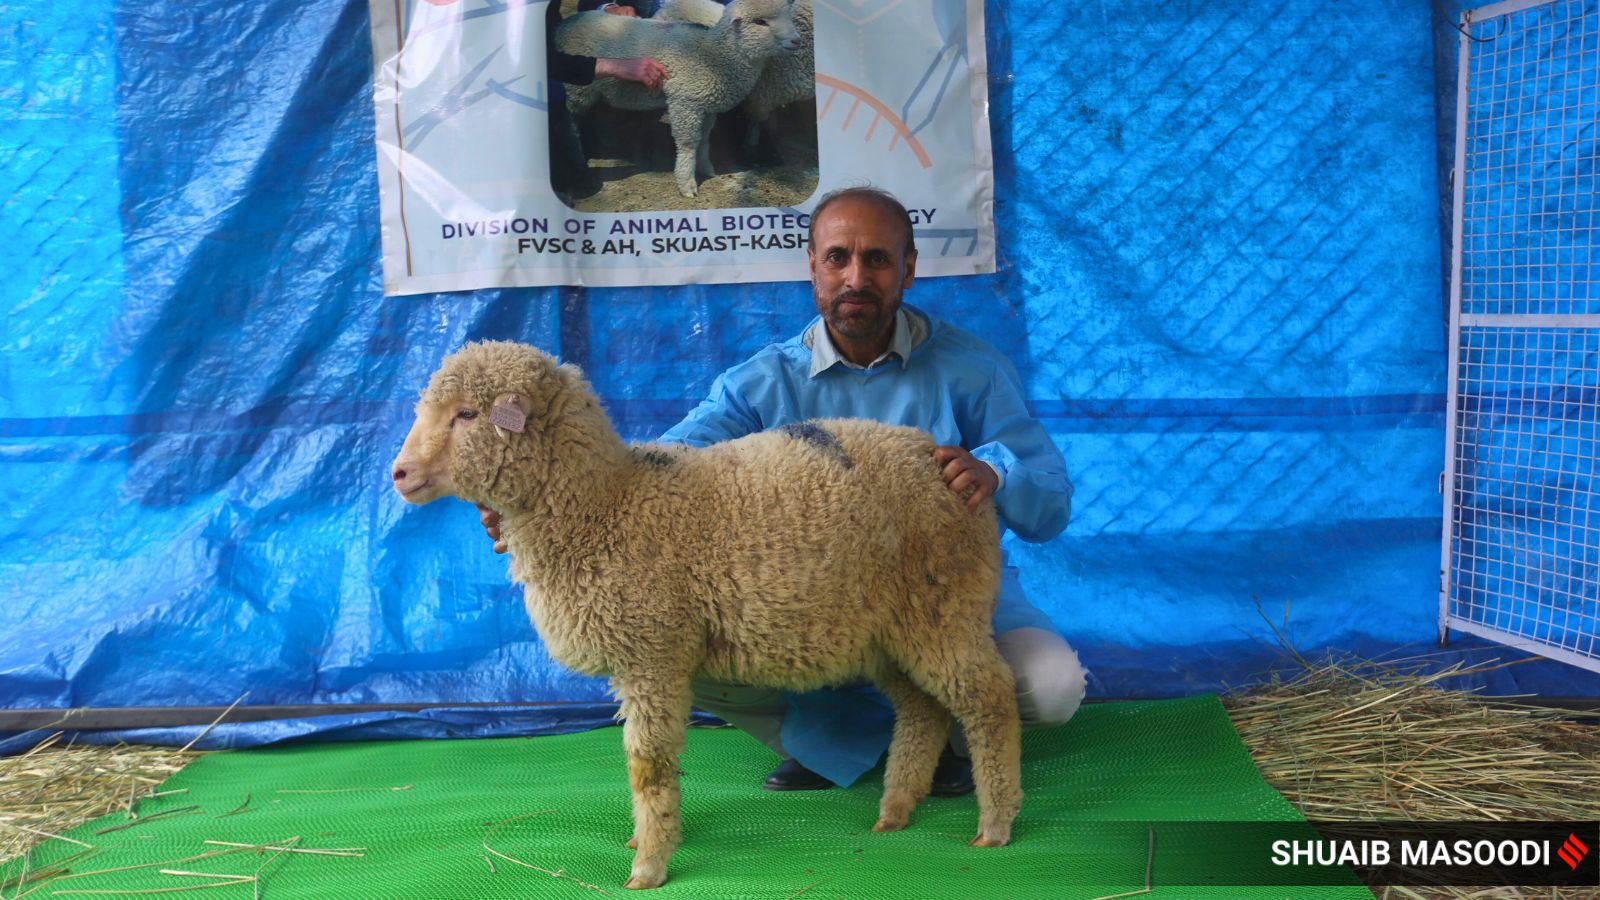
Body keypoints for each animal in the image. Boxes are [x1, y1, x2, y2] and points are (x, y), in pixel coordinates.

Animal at [390, 340, 1022, 890]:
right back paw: (895, 811)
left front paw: (647, 866)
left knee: (990, 699)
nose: (398, 474)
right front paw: (646, 840)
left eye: (467, 413)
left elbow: (646, 766)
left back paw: (994, 823)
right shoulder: (648, 658)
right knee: (921, 710)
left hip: (947, 604)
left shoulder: (651, 655)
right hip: (894, 628)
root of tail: (941, 458)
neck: (607, 505)